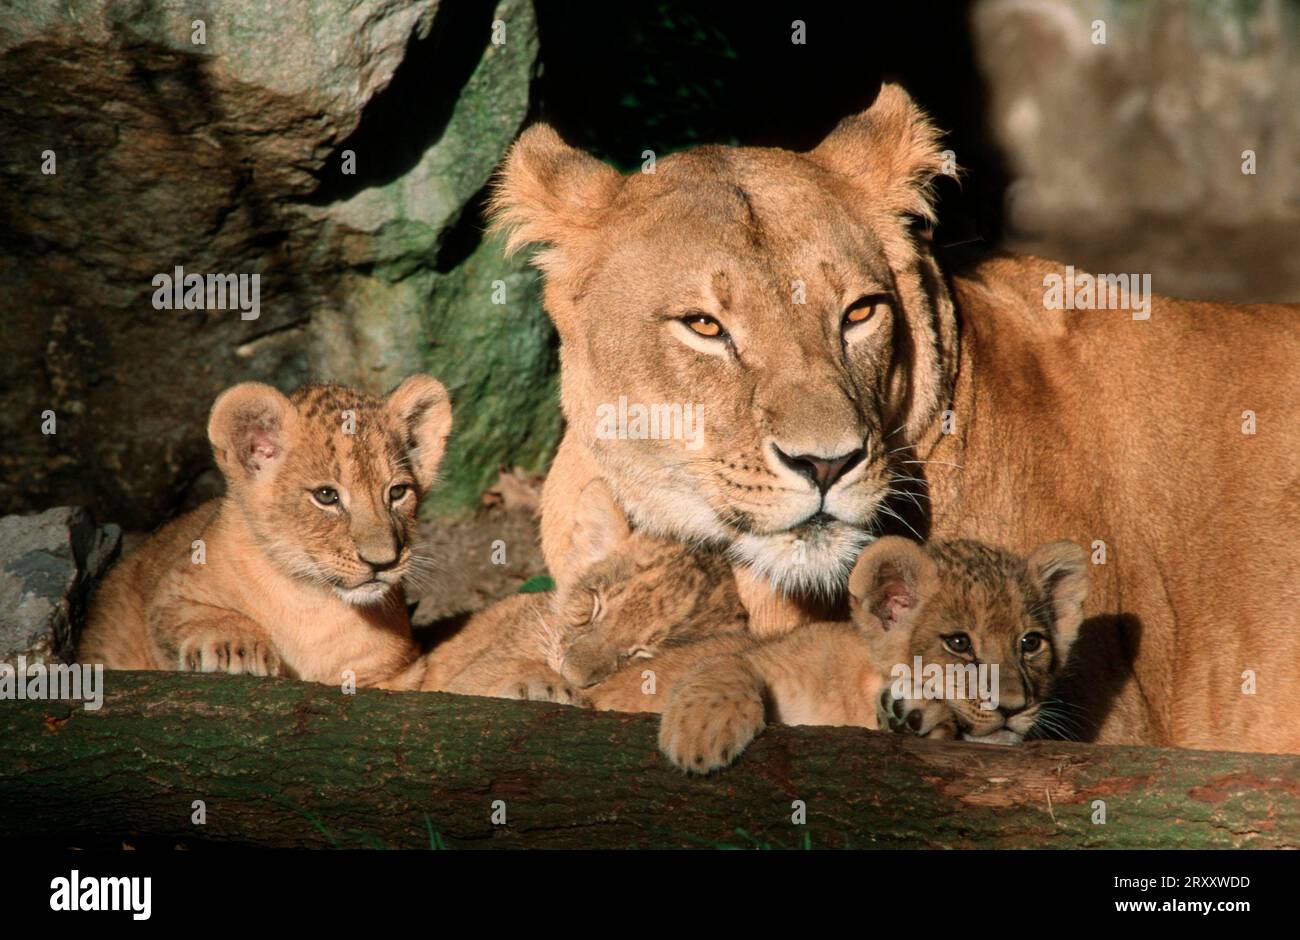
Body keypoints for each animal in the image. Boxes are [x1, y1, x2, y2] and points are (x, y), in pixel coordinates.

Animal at [78, 376, 451, 690]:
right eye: (326, 496)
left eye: (397, 492)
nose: (383, 562)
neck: (311, 601)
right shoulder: (172, 589)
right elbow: (188, 613)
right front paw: (236, 647)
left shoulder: (399, 671)